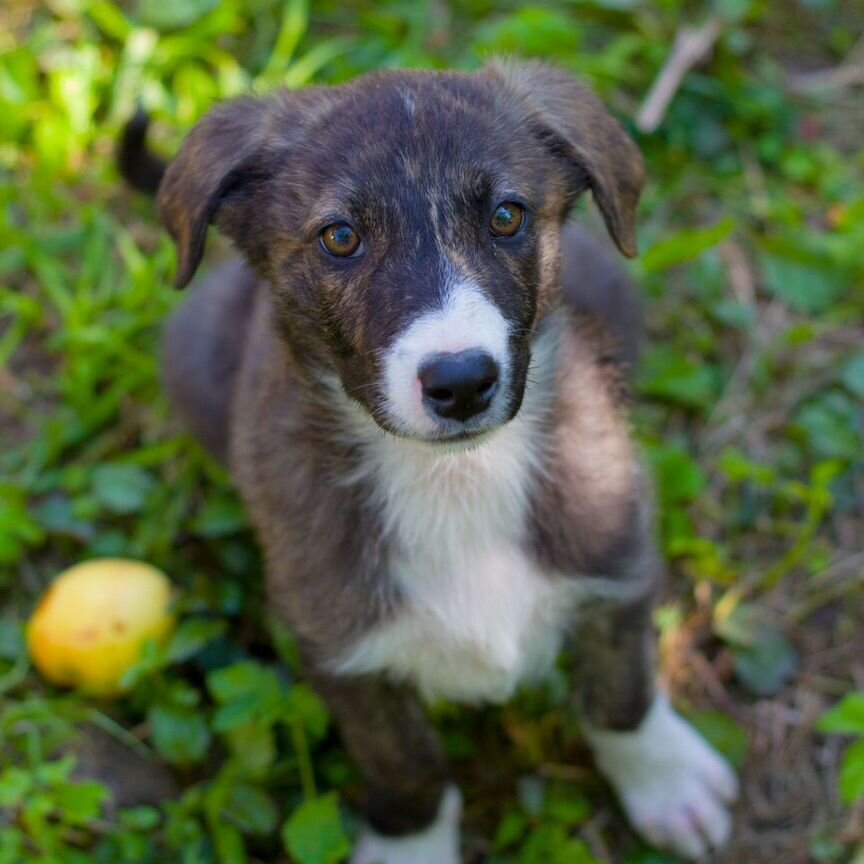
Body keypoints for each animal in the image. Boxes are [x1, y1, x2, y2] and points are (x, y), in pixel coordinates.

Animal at [123, 62, 744, 864]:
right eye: (341, 237)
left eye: (507, 217)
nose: (461, 382)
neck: (455, 479)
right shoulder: (340, 646)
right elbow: (407, 766)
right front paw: (410, 845)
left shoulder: (618, 557)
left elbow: (622, 693)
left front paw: (666, 780)